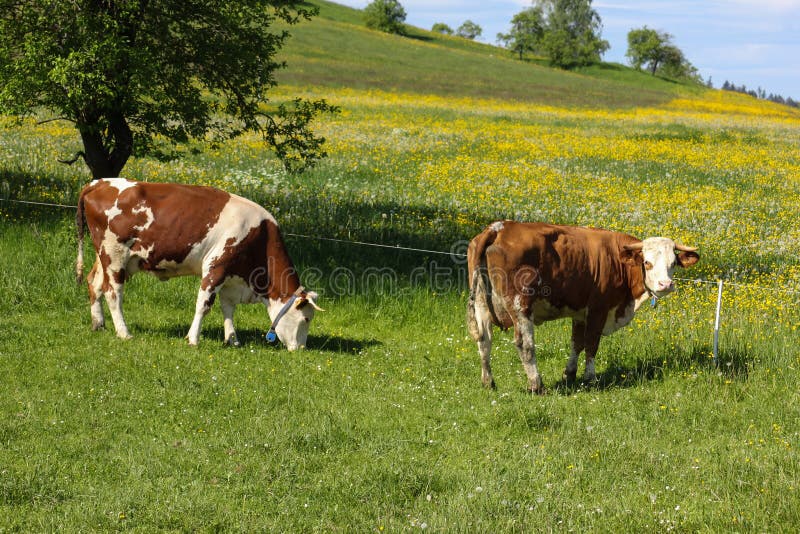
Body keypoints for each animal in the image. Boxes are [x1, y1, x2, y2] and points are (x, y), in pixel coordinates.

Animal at [76, 178, 322, 349]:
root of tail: (99, 182)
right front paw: (193, 338)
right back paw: (124, 332)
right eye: (306, 318)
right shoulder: (216, 267)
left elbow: (228, 308)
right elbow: (203, 305)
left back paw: (98, 324)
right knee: (113, 293)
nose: (301, 348)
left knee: (94, 283)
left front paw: (232, 339)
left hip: (103, 256)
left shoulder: (232, 278)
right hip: (114, 255)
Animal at [466, 221, 699, 393]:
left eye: (673, 263)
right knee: (525, 344)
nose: (665, 285)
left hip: (481, 303)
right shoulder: (599, 309)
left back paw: (488, 383)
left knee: (484, 340)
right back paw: (537, 385)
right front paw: (590, 378)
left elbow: (576, 343)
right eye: (647, 262)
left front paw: (569, 374)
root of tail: (498, 228)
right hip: (520, 306)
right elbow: (591, 344)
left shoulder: (580, 312)